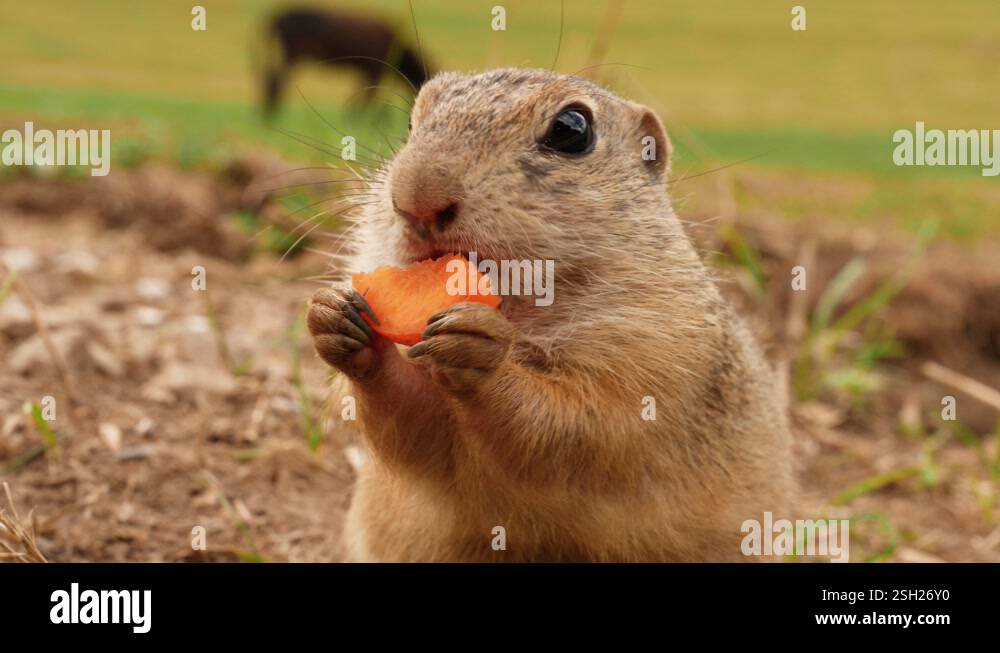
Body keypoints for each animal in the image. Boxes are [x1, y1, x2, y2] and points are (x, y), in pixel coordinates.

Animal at [307, 68, 794, 561]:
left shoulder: (651, 349)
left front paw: (484, 352)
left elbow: (578, 424)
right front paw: (334, 316)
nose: (416, 196)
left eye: (571, 129)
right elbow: (413, 427)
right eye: (411, 121)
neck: (518, 308)